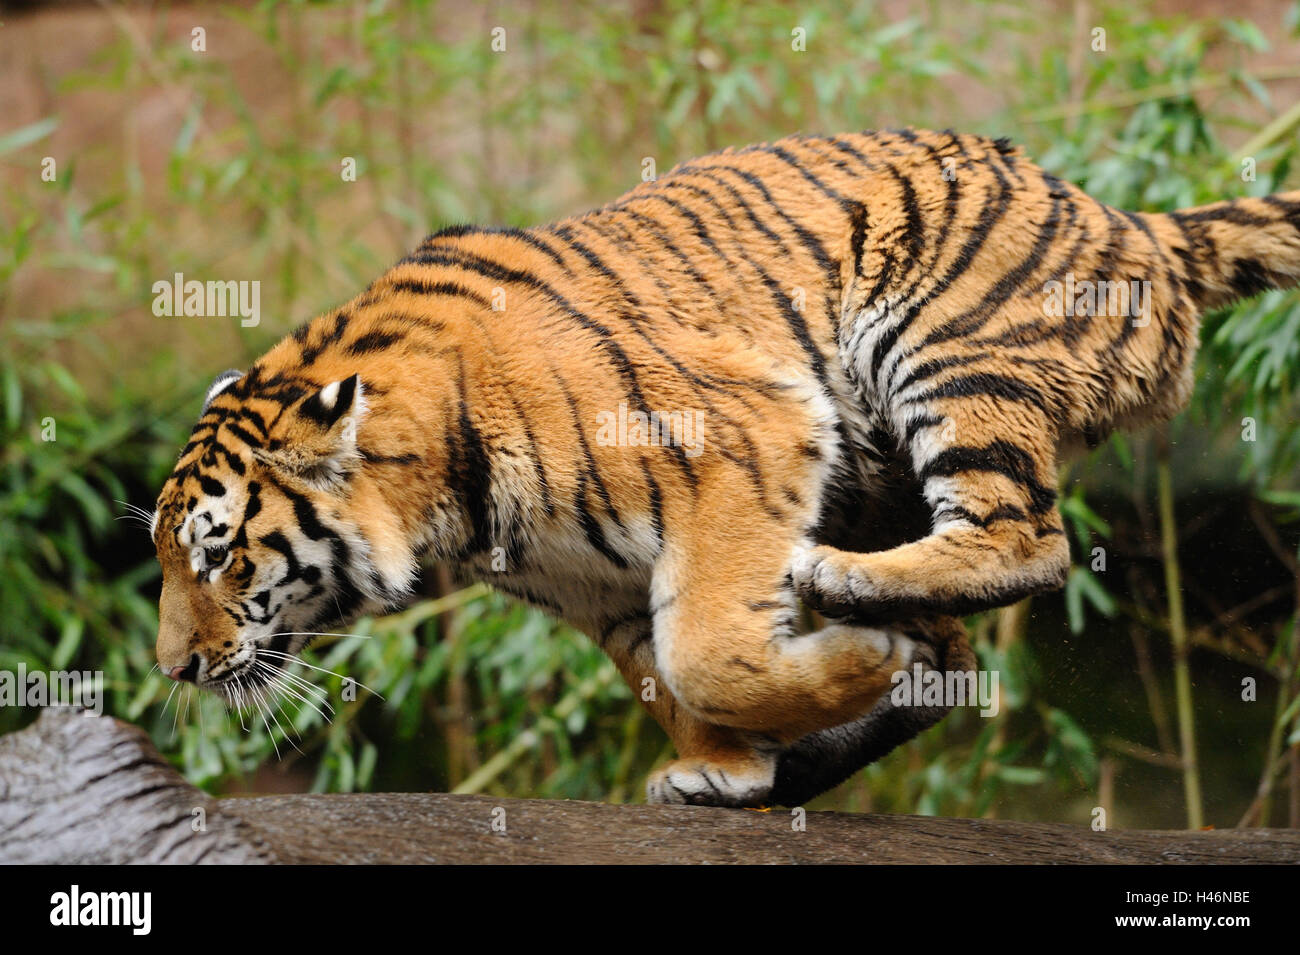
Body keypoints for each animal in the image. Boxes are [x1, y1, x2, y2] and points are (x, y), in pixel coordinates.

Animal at [150, 128, 1300, 808]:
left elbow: (702, 646)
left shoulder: (747, 433)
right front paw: (726, 766)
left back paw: (848, 594)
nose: (174, 669)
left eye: (218, 557)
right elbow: (666, 674)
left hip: (940, 347)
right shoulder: (590, 582)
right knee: (955, 655)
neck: (445, 500)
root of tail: (1128, 220)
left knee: (1024, 537)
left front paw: (830, 677)